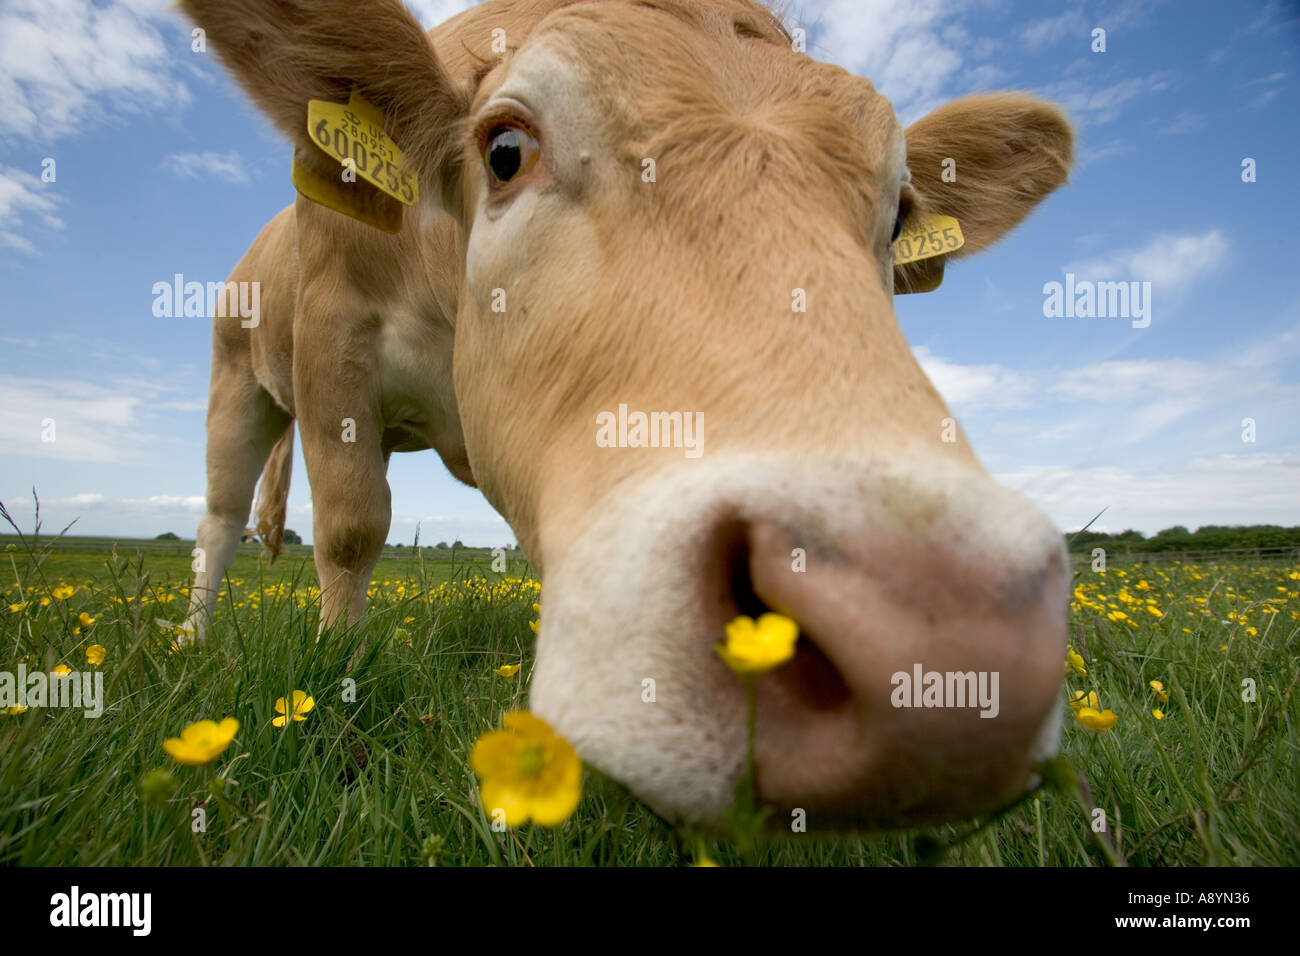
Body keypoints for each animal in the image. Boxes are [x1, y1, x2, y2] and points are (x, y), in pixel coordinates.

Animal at [178, 0, 1074, 828]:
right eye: (505, 151)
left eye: (900, 217)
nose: (940, 630)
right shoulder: (334, 340)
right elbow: (351, 529)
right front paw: (342, 664)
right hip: (236, 378)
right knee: (220, 519)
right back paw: (192, 637)